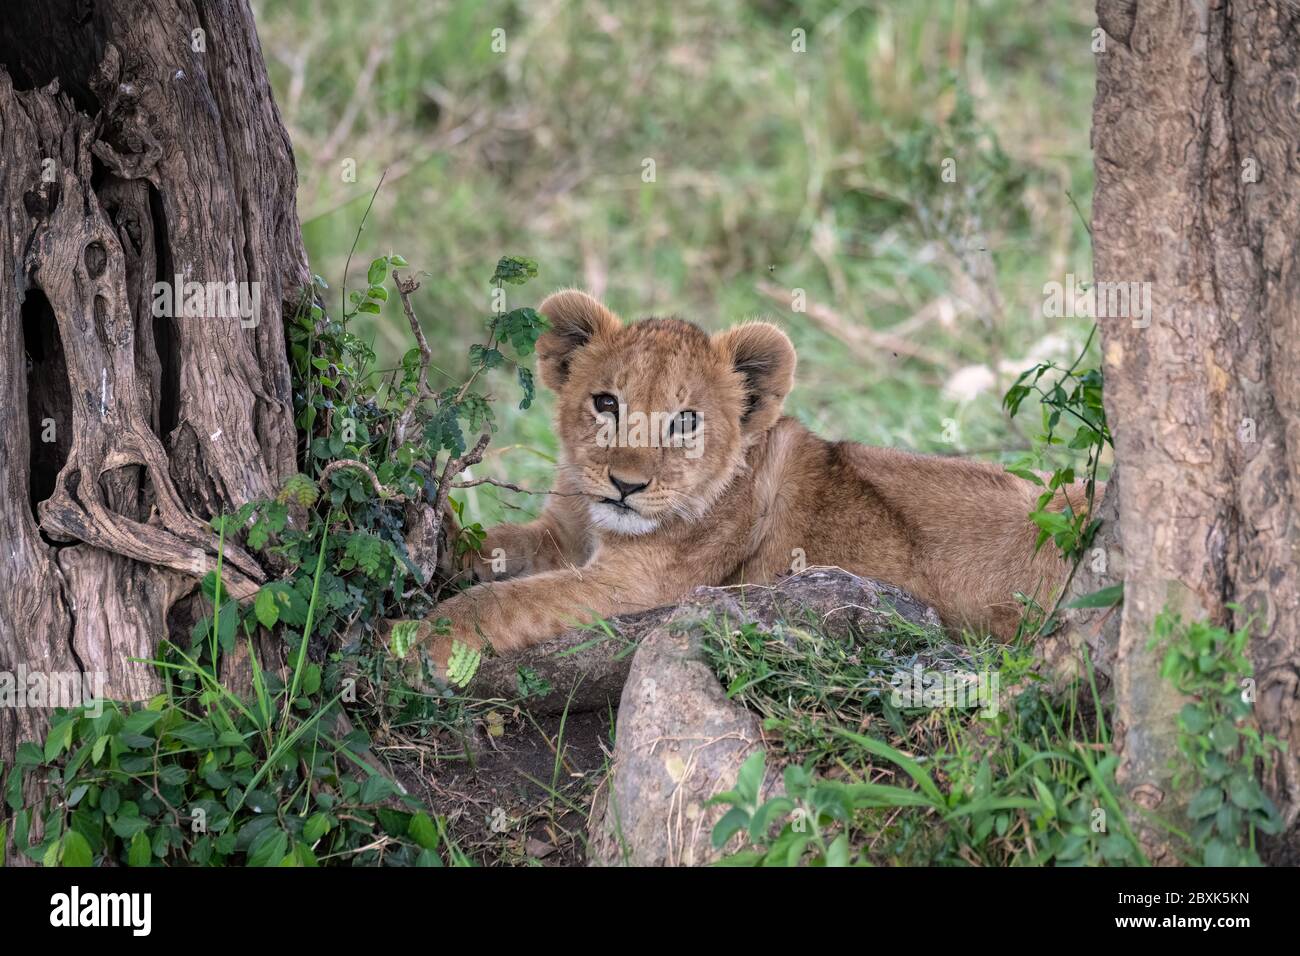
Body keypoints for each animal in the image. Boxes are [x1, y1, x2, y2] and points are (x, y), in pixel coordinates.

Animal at [401, 289, 1085, 671]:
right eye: (605, 403)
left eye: (684, 421)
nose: (625, 486)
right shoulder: (560, 533)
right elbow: (497, 545)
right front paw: (435, 537)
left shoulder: (635, 586)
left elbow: (507, 600)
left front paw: (418, 638)